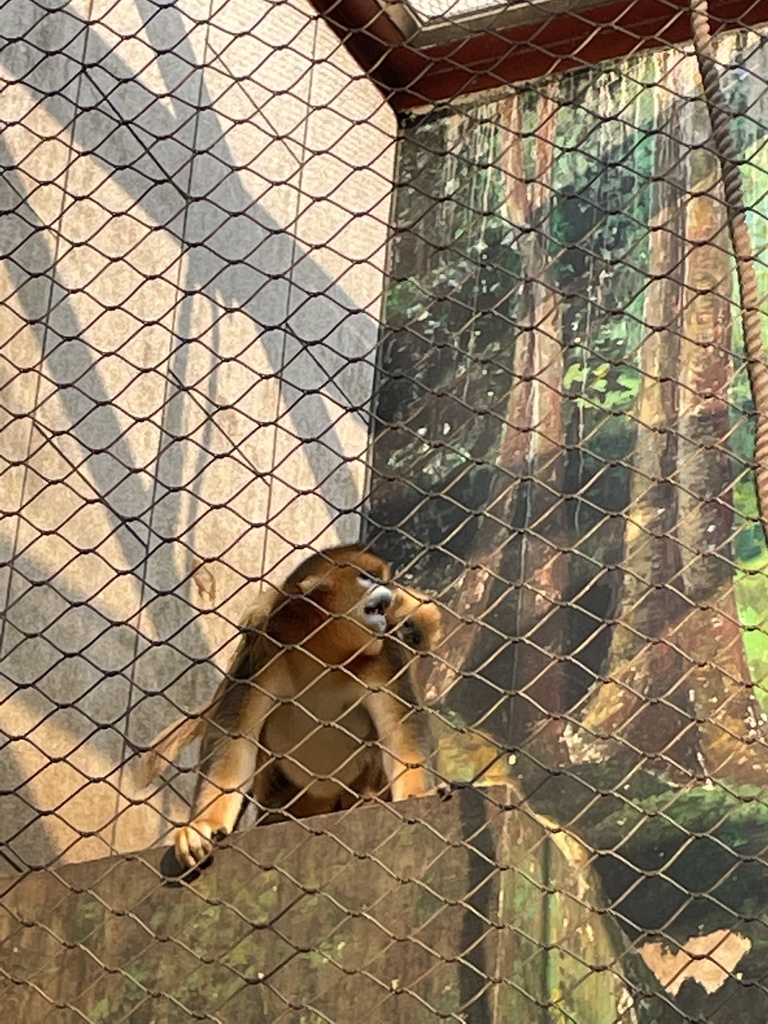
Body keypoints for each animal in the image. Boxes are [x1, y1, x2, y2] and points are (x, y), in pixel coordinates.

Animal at [137, 545, 443, 870]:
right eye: (367, 577)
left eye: (382, 579)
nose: (387, 590)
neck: (324, 652)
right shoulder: (265, 647)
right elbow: (234, 740)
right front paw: (203, 825)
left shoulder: (384, 655)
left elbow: (403, 732)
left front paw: (417, 794)